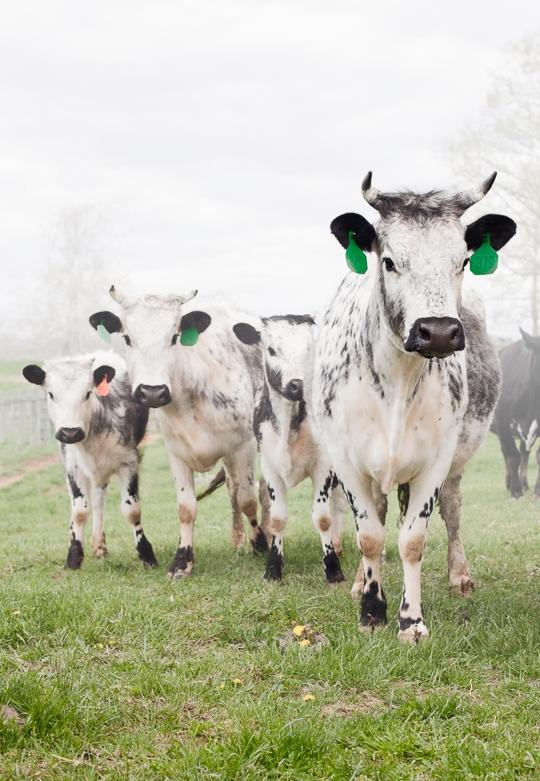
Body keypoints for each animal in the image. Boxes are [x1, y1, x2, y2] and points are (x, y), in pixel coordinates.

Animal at [22, 352, 157, 570]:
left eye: (87, 393)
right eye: (51, 394)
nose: (70, 432)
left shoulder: (129, 462)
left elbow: (132, 510)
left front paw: (147, 554)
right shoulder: (73, 466)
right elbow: (79, 511)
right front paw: (74, 555)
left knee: (99, 500)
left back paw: (99, 545)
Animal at [89, 288, 269, 579]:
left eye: (174, 337)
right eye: (127, 338)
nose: (152, 392)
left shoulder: (245, 446)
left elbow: (249, 498)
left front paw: (260, 543)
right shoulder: (177, 453)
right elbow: (186, 508)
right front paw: (182, 561)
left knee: (259, 489)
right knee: (232, 489)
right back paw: (237, 539)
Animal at [231, 314, 347, 583]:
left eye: (310, 349)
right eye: (272, 349)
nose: (297, 384)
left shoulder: (323, 466)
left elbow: (322, 518)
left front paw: (333, 568)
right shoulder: (270, 466)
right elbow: (277, 518)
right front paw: (273, 568)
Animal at [312, 171, 516, 642]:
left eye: (462, 262)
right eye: (388, 261)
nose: (437, 331)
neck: (398, 383)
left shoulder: (436, 461)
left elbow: (413, 539)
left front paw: (411, 620)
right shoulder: (347, 462)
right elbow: (370, 535)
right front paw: (372, 610)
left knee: (452, 511)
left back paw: (459, 575)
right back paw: (360, 582)